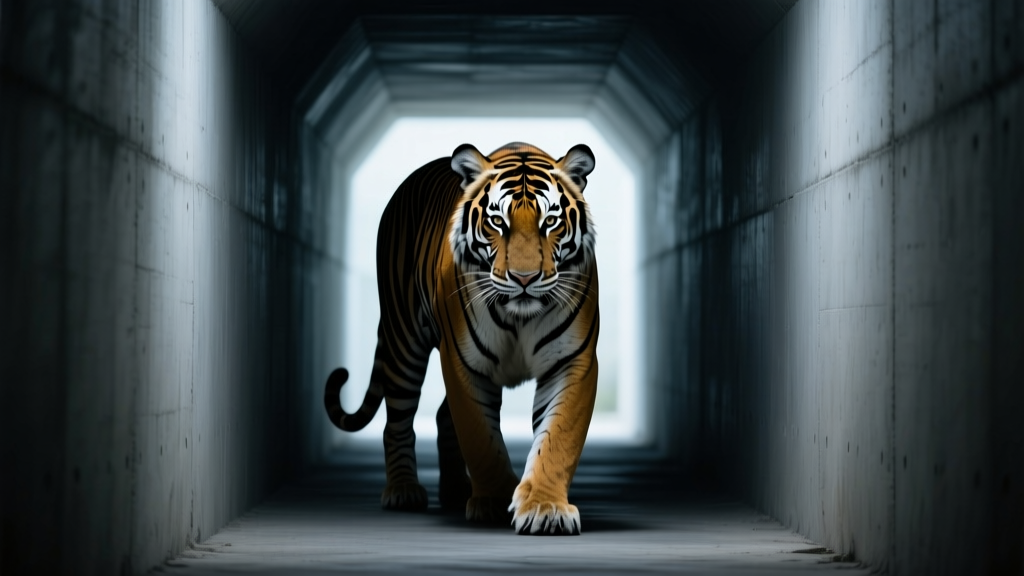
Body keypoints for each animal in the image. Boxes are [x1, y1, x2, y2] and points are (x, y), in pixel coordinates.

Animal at [324, 141, 599, 535]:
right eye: (498, 221)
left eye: (550, 222)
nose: (525, 278)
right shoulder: (463, 364)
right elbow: (479, 436)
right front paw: (494, 501)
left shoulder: (571, 362)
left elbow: (557, 438)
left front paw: (545, 509)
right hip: (404, 341)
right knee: (397, 422)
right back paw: (404, 490)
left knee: (441, 416)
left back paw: (455, 490)